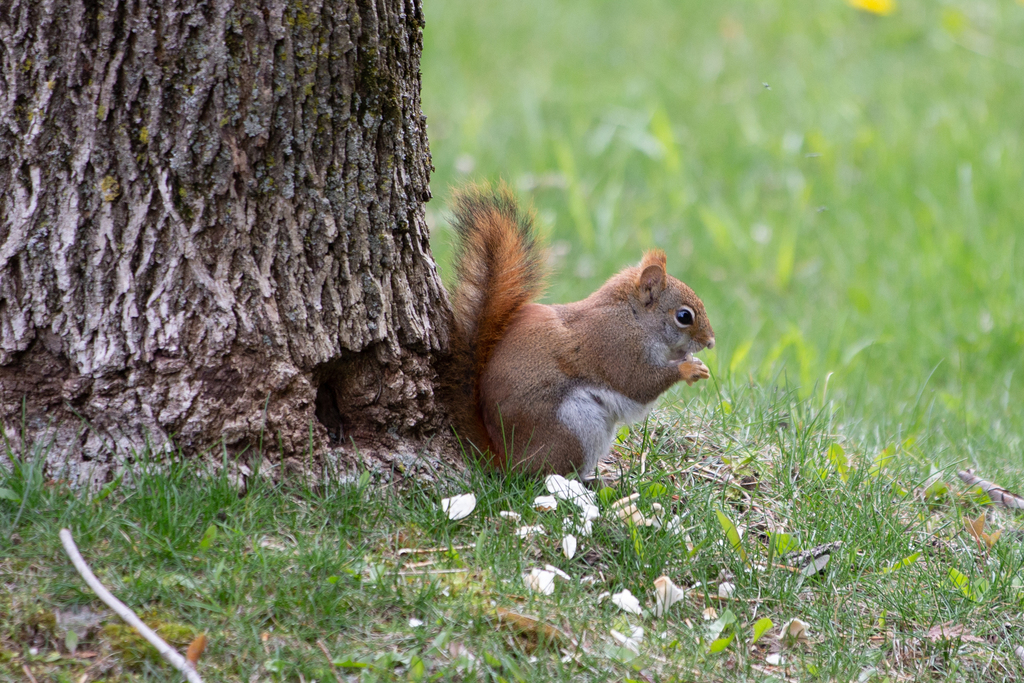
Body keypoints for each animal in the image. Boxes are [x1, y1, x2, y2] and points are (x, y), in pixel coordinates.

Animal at [444, 185, 715, 480]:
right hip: (575, 425)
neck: (634, 318)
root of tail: (504, 458)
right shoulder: (615, 346)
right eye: (684, 316)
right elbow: (639, 382)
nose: (710, 342)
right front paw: (688, 369)